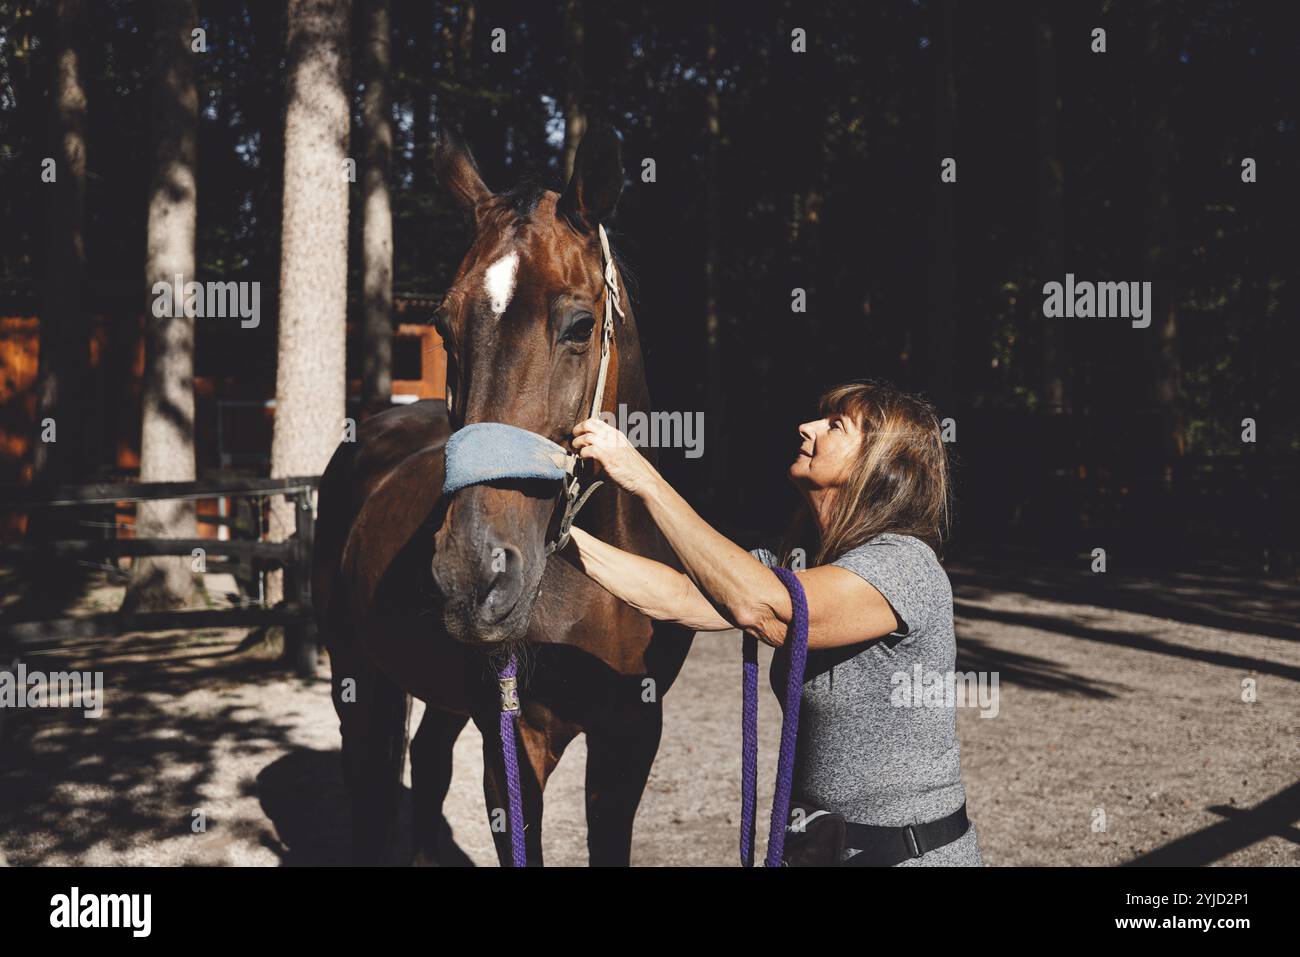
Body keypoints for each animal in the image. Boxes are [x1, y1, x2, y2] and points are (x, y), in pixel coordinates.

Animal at [311, 126, 695, 866]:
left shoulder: (633, 735)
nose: (472, 573)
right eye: (444, 327)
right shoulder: (513, 742)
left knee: (427, 760)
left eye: (580, 325)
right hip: (357, 674)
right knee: (369, 784)